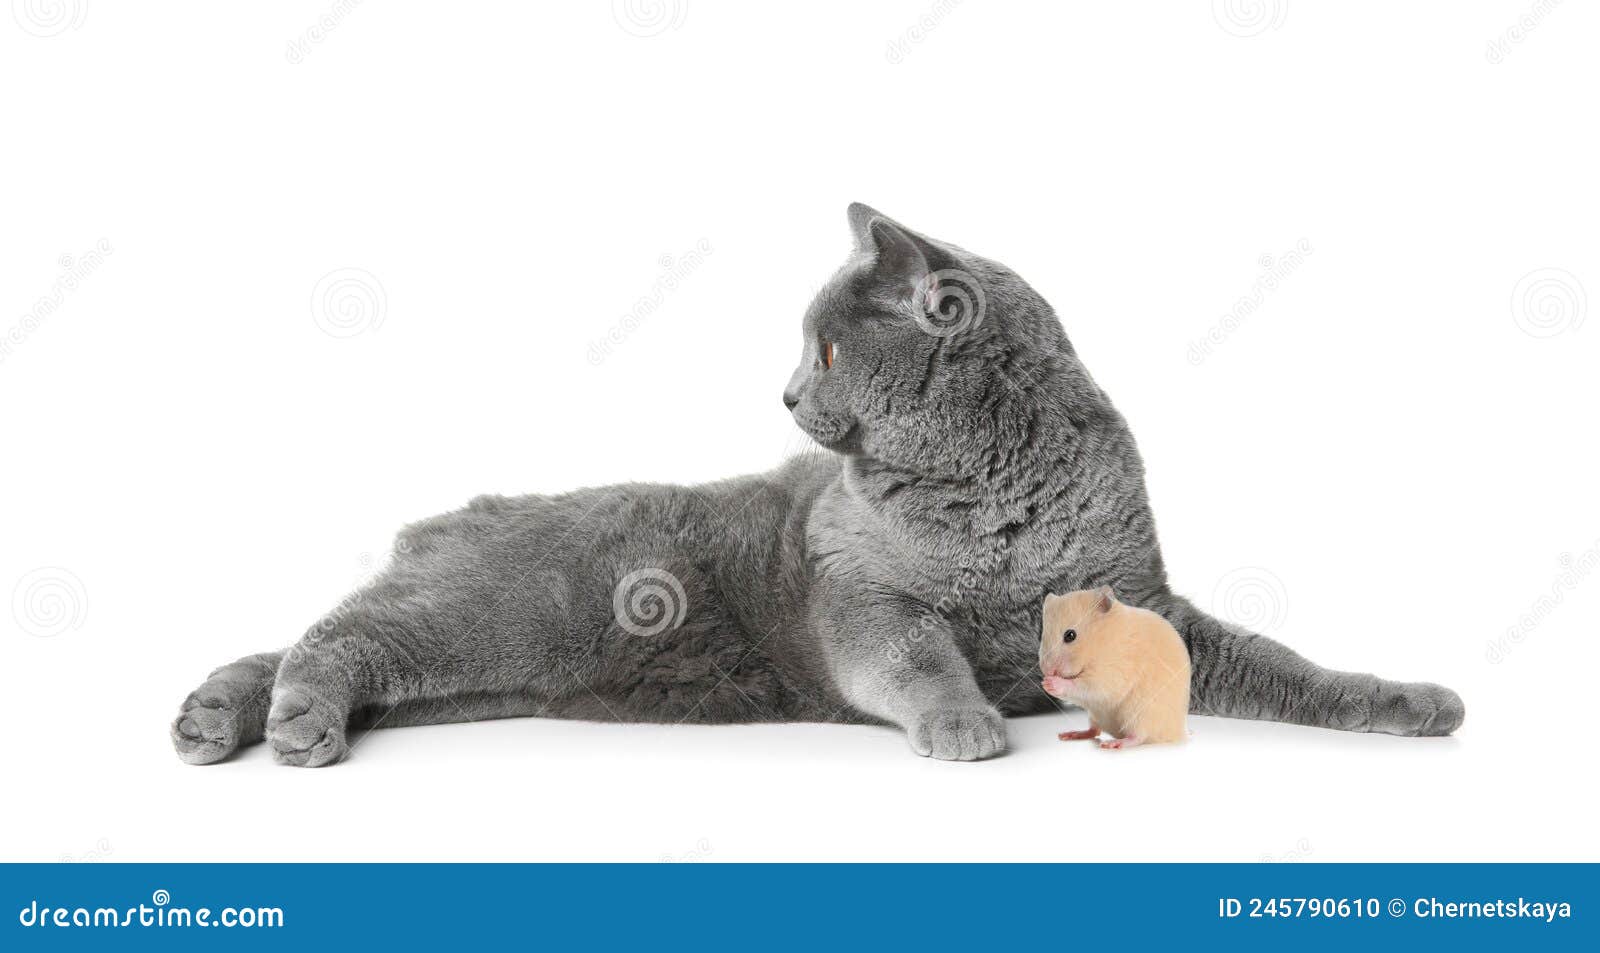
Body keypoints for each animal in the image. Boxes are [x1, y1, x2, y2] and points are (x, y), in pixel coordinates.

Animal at [1038, 586, 1190, 749]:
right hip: (1095, 714)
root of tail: (1178, 732)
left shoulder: (1110, 675)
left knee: (1138, 736)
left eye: (1070, 635)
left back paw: (1113, 743)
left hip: (1140, 714)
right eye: (1042, 635)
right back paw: (1070, 735)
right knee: (1094, 730)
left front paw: (1050, 682)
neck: (1098, 644)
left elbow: (1083, 685)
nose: (1048, 671)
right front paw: (1044, 683)